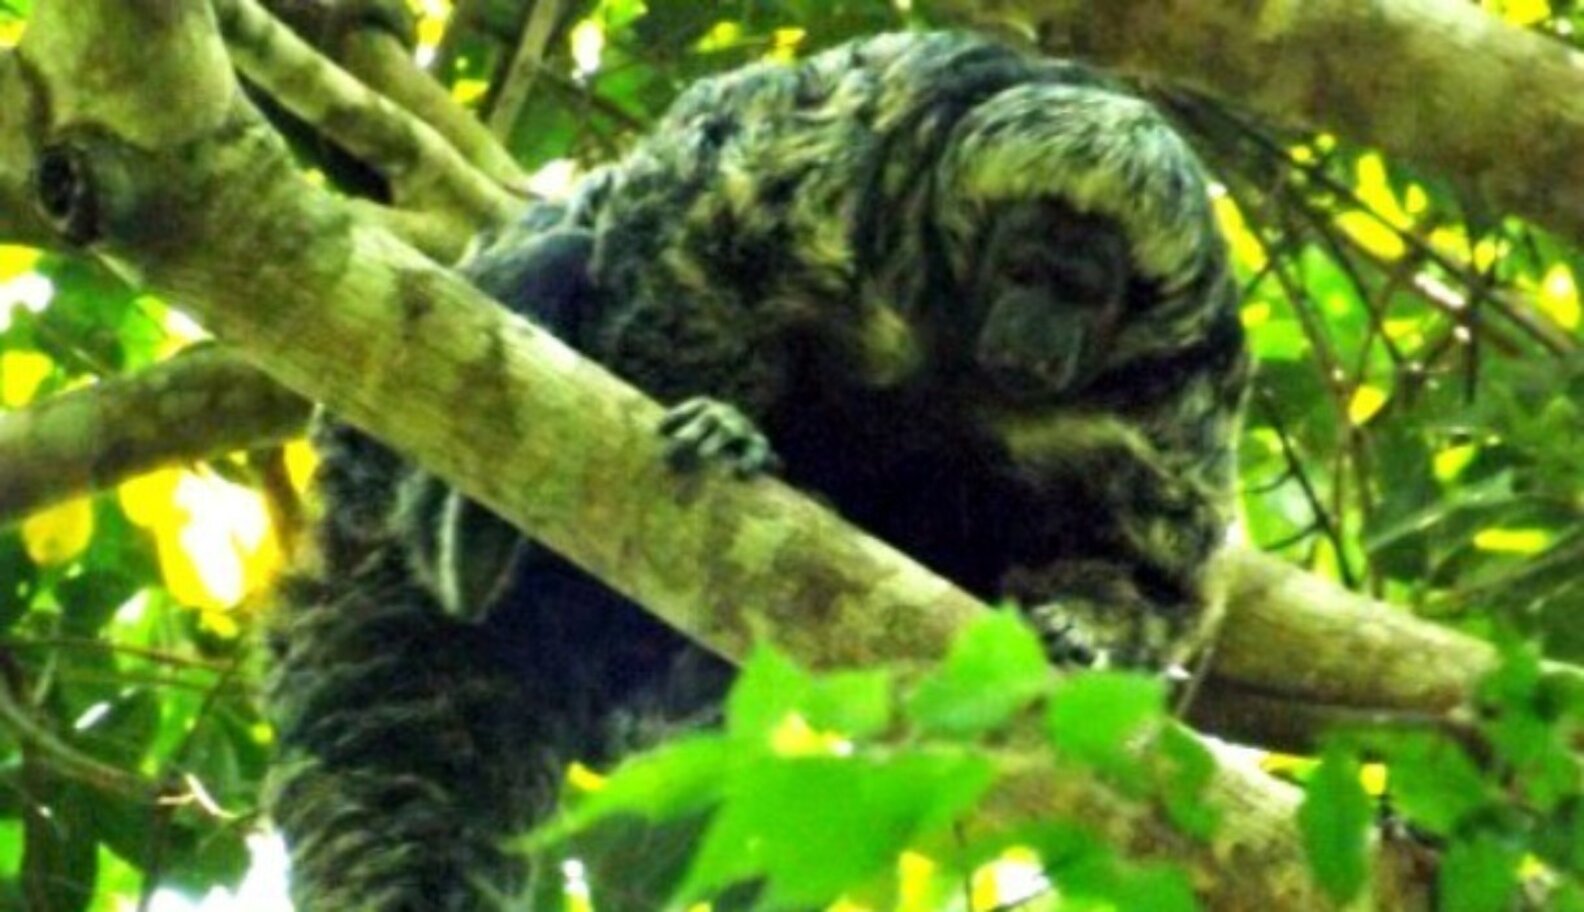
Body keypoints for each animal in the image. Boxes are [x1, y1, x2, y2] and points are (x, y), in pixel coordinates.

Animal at [265, 30, 1249, 910]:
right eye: (1025, 270)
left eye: (1085, 294)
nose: (1041, 339)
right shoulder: (850, 143)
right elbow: (692, 236)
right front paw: (722, 424)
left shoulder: (1180, 391)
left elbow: (1149, 564)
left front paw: (1088, 627)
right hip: (374, 471)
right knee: (549, 258)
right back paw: (470, 539)